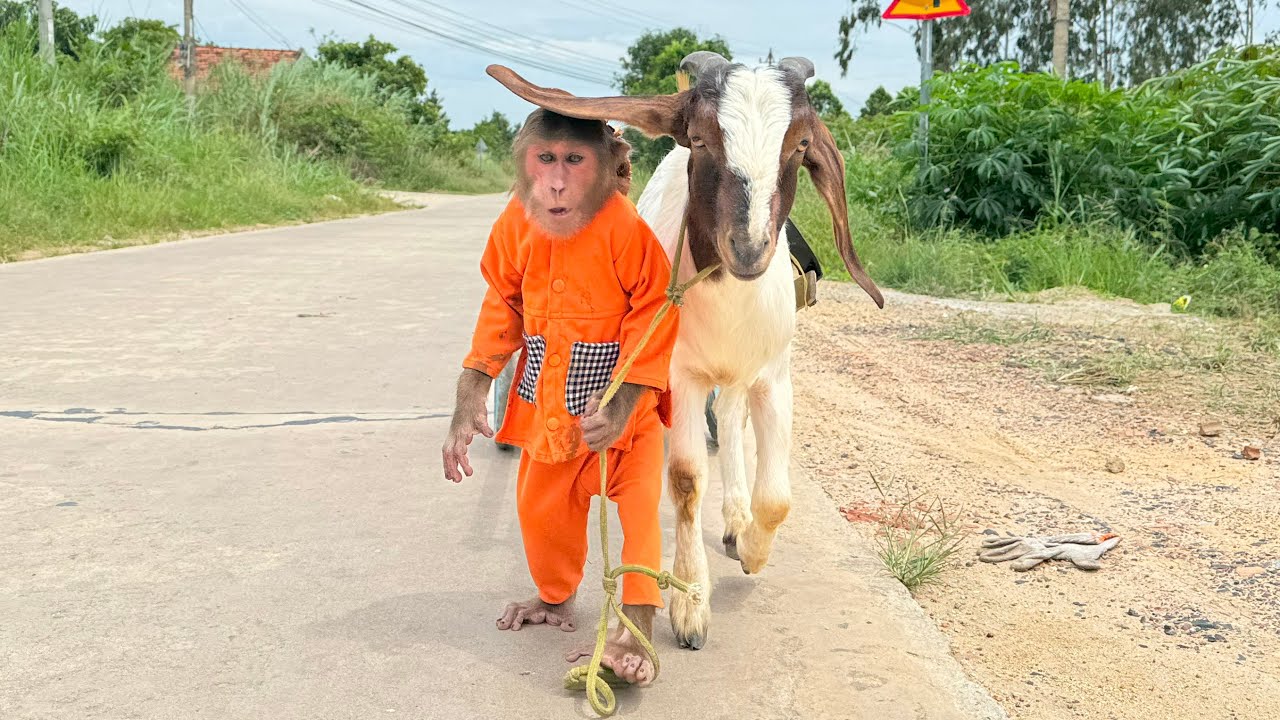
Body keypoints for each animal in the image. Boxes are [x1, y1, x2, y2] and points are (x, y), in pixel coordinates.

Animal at [441, 108, 677, 686]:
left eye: (575, 159)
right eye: (546, 157)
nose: (554, 184)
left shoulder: (635, 240)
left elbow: (649, 315)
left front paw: (607, 416)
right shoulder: (510, 230)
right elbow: (502, 304)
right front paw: (465, 418)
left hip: (636, 454)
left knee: (639, 520)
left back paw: (627, 649)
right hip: (547, 480)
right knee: (542, 516)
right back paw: (550, 606)